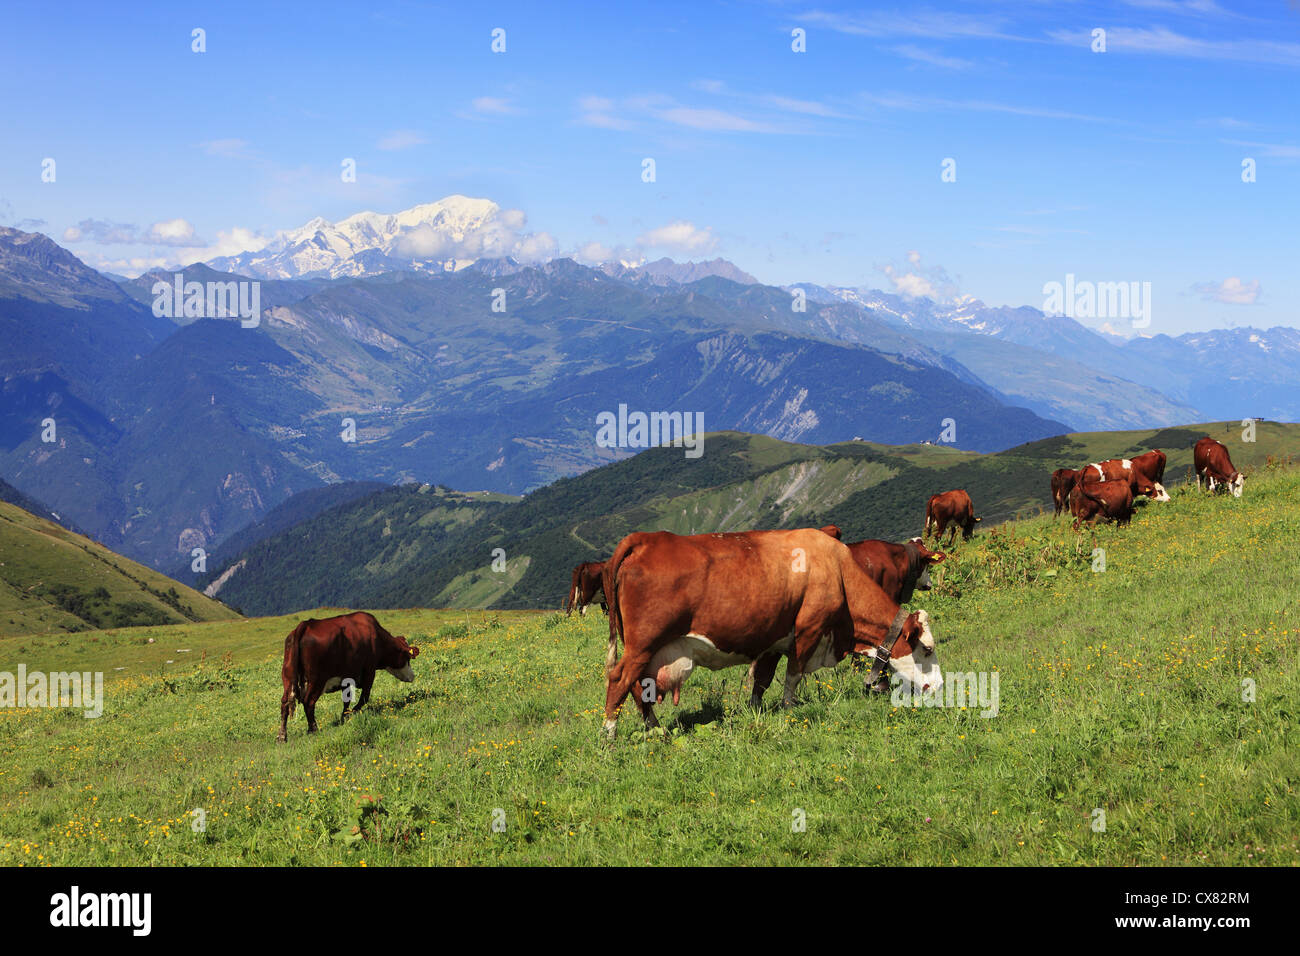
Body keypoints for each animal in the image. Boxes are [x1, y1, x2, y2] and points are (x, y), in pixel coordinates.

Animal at [277, 611, 419, 741]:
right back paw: (313, 729)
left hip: (288, 678)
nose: (412, 676)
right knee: (309, 702)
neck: (376, 636)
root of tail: (305, 625)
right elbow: (364, 697)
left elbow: (347, 699)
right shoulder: (369, 670)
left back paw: (282, 736)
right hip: (317, 680)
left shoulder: (346, 677)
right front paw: (352, 713)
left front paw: (344, 716)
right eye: (407, 658)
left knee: (285, 703)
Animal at [600, 528, 943, 738]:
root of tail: (646, 539)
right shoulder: (809, 629)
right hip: (643, 645)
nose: (939, 686)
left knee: (638, 688)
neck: (838, 570)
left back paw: (655, 730)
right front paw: (790, 711)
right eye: (926, 649)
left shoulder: (774, 640)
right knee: (619, 680)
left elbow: (762, 681)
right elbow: (793, 676)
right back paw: (609, 737)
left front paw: (755, 712)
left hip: (647, 650)